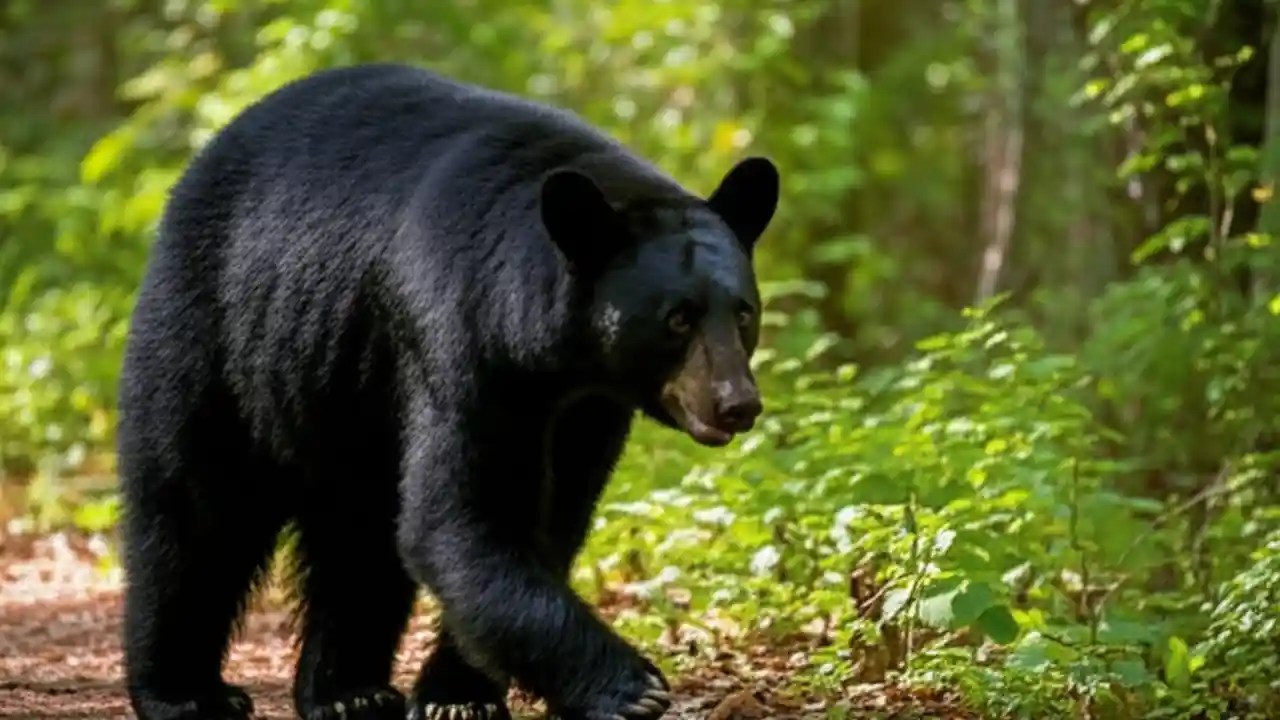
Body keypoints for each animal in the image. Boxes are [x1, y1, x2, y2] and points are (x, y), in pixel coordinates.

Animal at [116, 62, 779, 720]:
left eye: (743, 312)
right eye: (678, 318)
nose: (736, 403)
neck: (555, 353)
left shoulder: (588, 406)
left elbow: (548, 515)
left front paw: (458, 696)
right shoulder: (464, 341)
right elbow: (460, 517)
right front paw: (630, 689)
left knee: (357, 536)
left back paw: (346, 692)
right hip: (217, 326)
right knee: (196, 505)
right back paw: (185, 692)